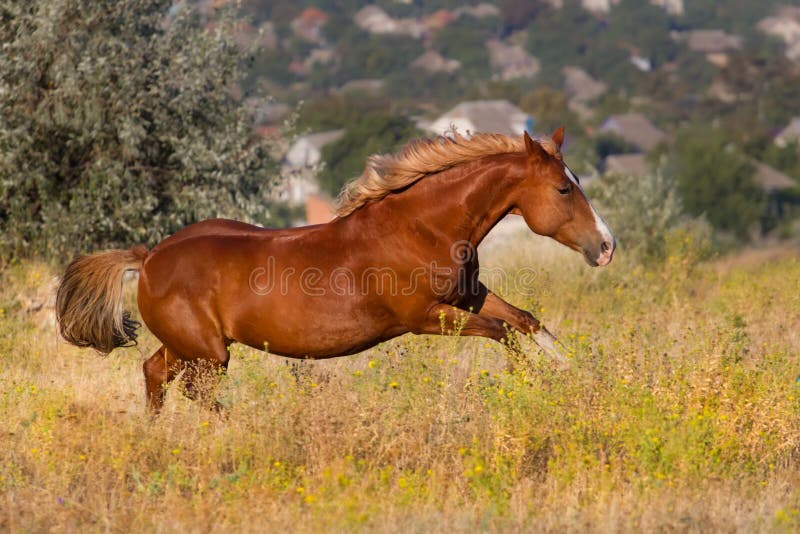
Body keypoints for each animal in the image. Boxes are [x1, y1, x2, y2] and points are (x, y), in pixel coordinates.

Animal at [55, 128, 615, 413]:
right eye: (563, 188)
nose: (606, 247)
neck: (420, 226)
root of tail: (149, 258)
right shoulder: (425, 317)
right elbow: (504, 332)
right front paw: (534, 386)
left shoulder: (467, 295)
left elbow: (526, 321)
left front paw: (575, 376)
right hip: (208, 352)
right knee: (198, 391)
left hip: (191, 346)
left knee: (155, 373)